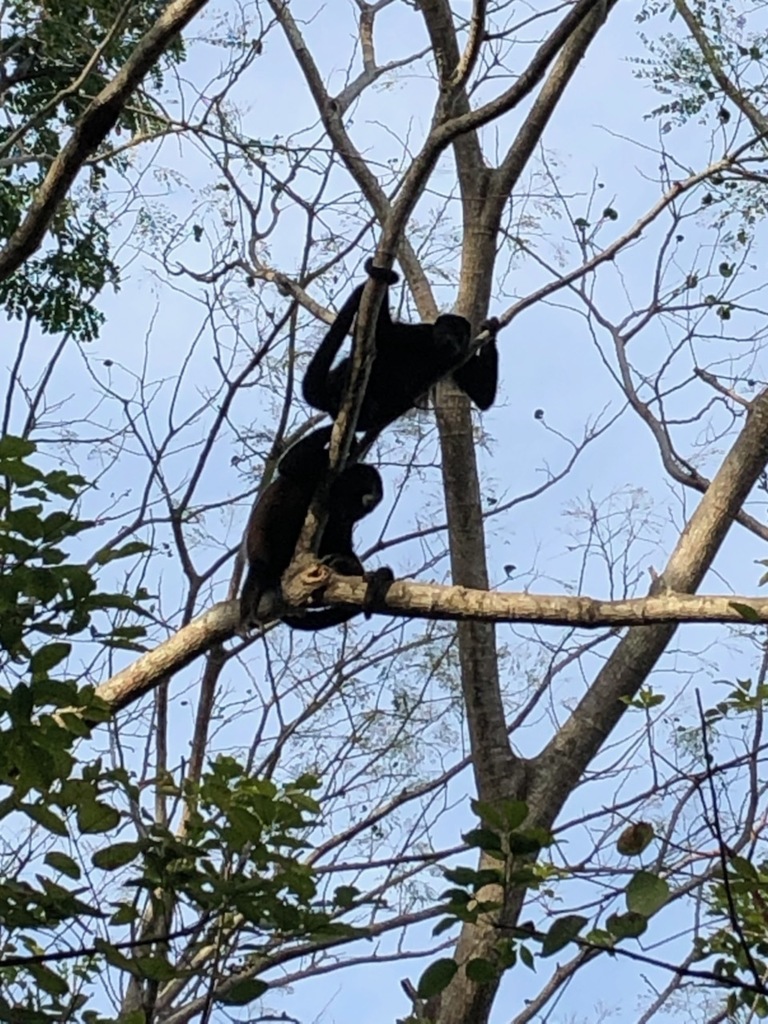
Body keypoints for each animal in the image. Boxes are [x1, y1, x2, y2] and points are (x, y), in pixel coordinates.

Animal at [240, 426, 393, 631]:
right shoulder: (318, 466)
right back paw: (249, 610)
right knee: (259, 567)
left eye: (376, 497)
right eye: (371, 485)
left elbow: (342, 544)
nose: (372, 499)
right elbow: (290, 464)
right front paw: (350, 437)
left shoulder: (343, 519)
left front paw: (347, 562)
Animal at [302, 259, 499, 435]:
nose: (452, 341)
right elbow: (383, 334)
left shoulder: (463, 356)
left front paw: (491, 328)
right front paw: (380, 275)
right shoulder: (418, 333)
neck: (434, 350)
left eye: (460, 336)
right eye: (447, 331)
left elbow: (483, 395)